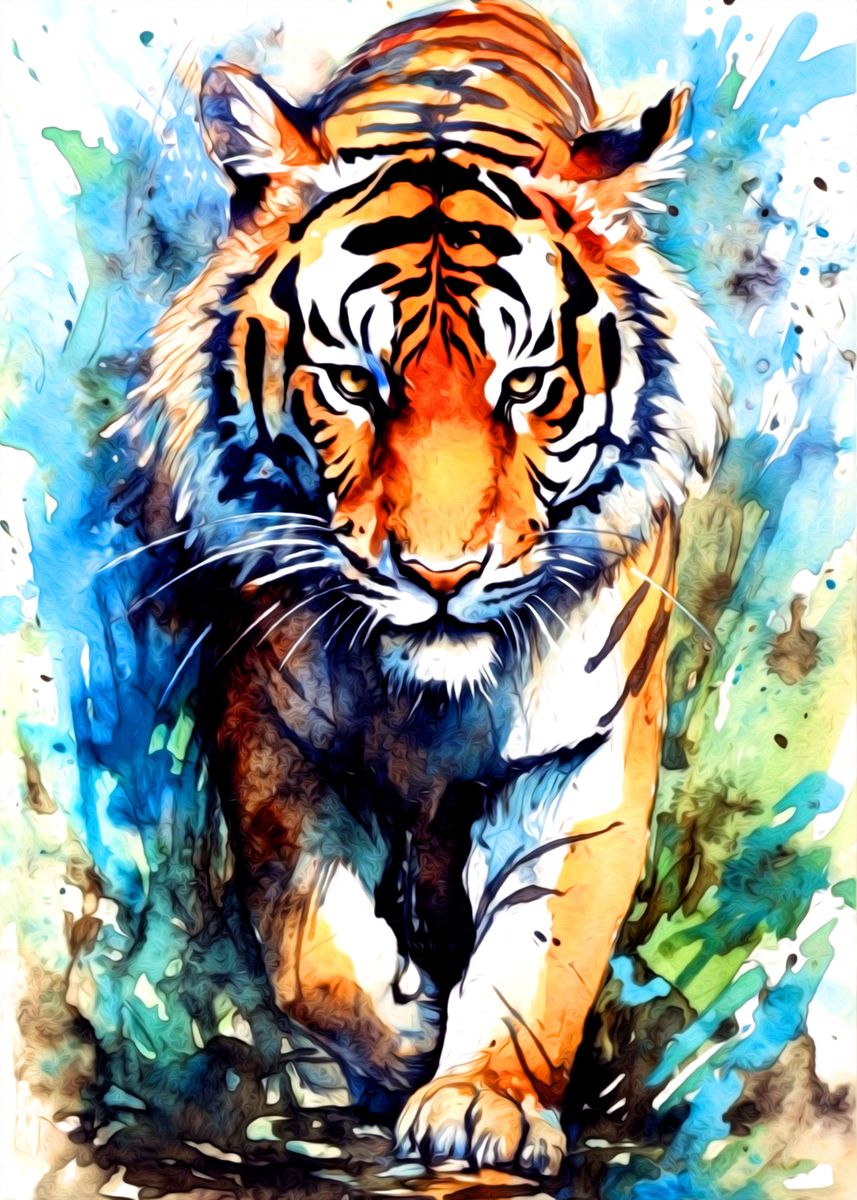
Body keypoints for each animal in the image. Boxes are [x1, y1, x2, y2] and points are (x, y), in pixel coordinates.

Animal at [119, 0, 728, 1176]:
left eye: (525, 384)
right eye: (354, 383)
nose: (441, 576)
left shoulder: (582, 750)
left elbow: (544, 943)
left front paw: (485, 1101)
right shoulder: (271, 728)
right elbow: (301, 934)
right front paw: (403, 1038)